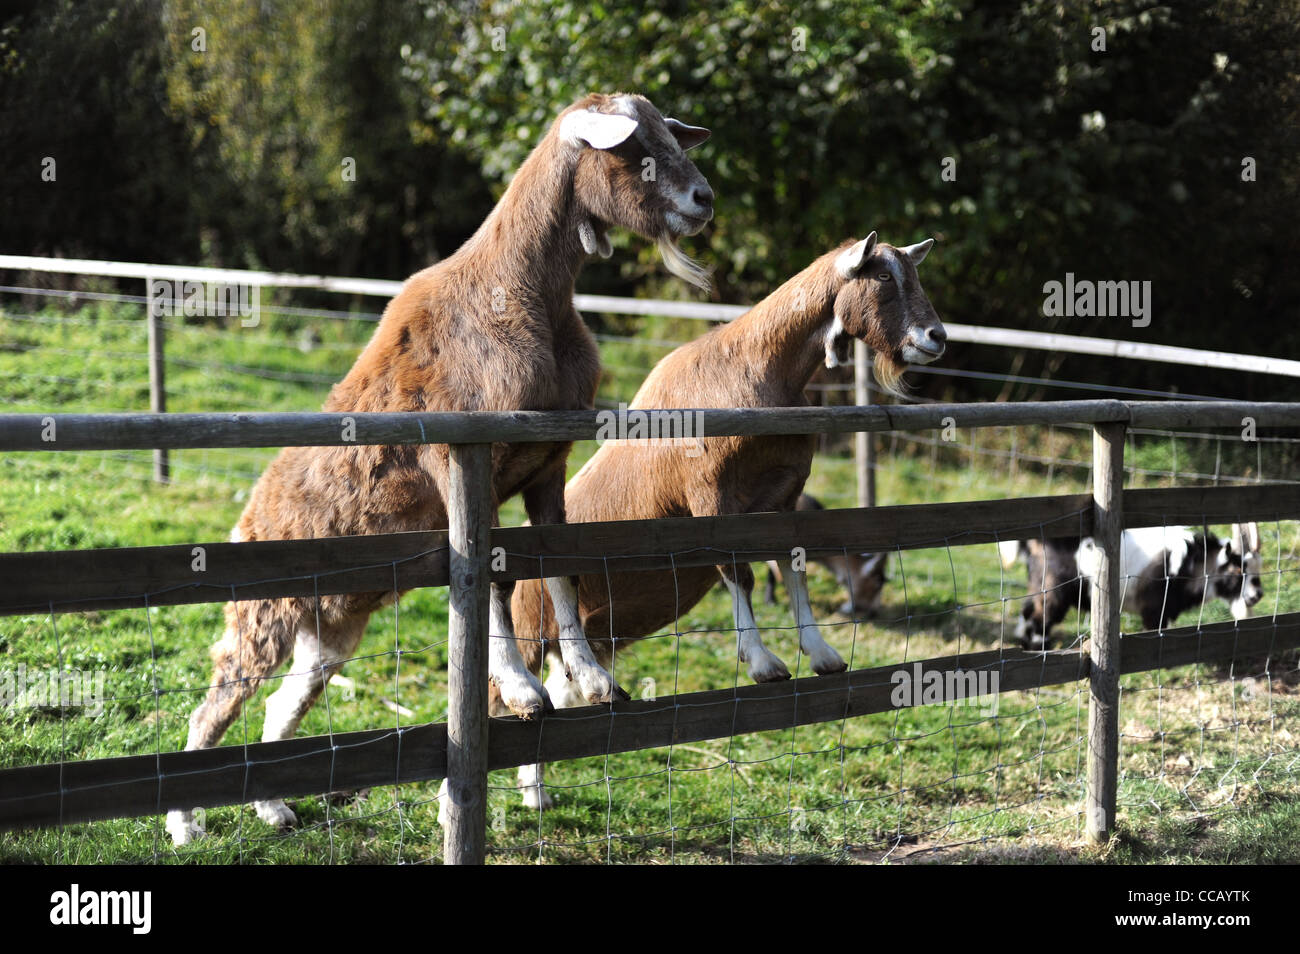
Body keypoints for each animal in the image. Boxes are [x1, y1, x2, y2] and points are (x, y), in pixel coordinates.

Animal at [165, 93, 715, 846]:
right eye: (634, 150)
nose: (704, 198)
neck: (522, 296)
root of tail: (246, 521)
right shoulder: (463, 461)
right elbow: (491, 577)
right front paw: (523, 689)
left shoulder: (547, 467)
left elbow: (561, 568)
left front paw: (593, 678)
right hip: (262, 615)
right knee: (215, 702)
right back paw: (183, 825)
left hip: (329, 633)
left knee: (281, 705)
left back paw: (275, 809)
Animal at [499, 232, 946, 813]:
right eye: (885, 277)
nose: (936, 337)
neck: (753, 370)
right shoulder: (710, 497)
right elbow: (741, 574)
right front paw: (762, 663)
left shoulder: (784, 497)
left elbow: (794, 568)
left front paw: (823, 655)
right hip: (533, 632)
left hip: (591, 638)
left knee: (564, 691)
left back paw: (536, 793)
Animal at [1000, 523, 1263, 649]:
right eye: (1238, 570)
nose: (1257, 595)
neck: (1187, 563)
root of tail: (1035, 540)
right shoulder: (1154, 607)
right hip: (1053, 588)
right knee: (1040, 615)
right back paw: (1039, 646)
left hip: (1038, 584)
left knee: (1027, 610)